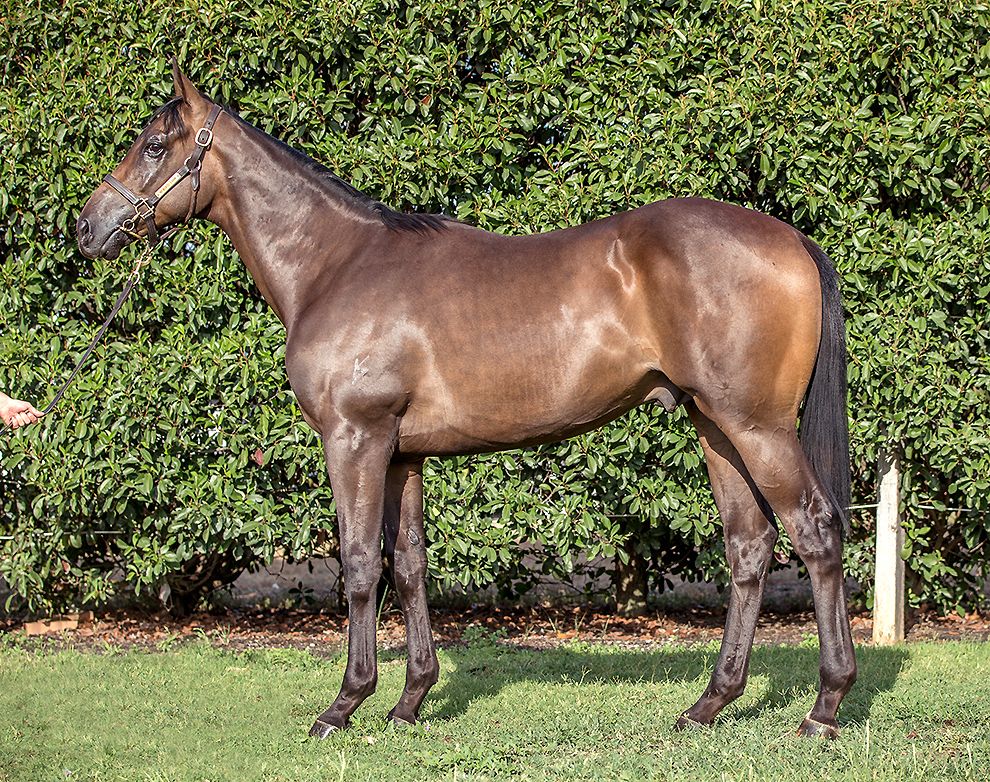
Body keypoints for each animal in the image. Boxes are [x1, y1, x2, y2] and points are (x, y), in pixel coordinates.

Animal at [77, 63, 856, 739]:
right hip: (715, 426)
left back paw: (823, 708)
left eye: (154, 145)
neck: (335, 265)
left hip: (757, 428)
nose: (87, 228)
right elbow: (410, 565)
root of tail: (792, 238)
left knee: (814, 534)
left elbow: (359, 565)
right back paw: (709, 705)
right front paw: (409, 701)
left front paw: (344, 705)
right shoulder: (402, 454)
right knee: (749, 546)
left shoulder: (354, 439)